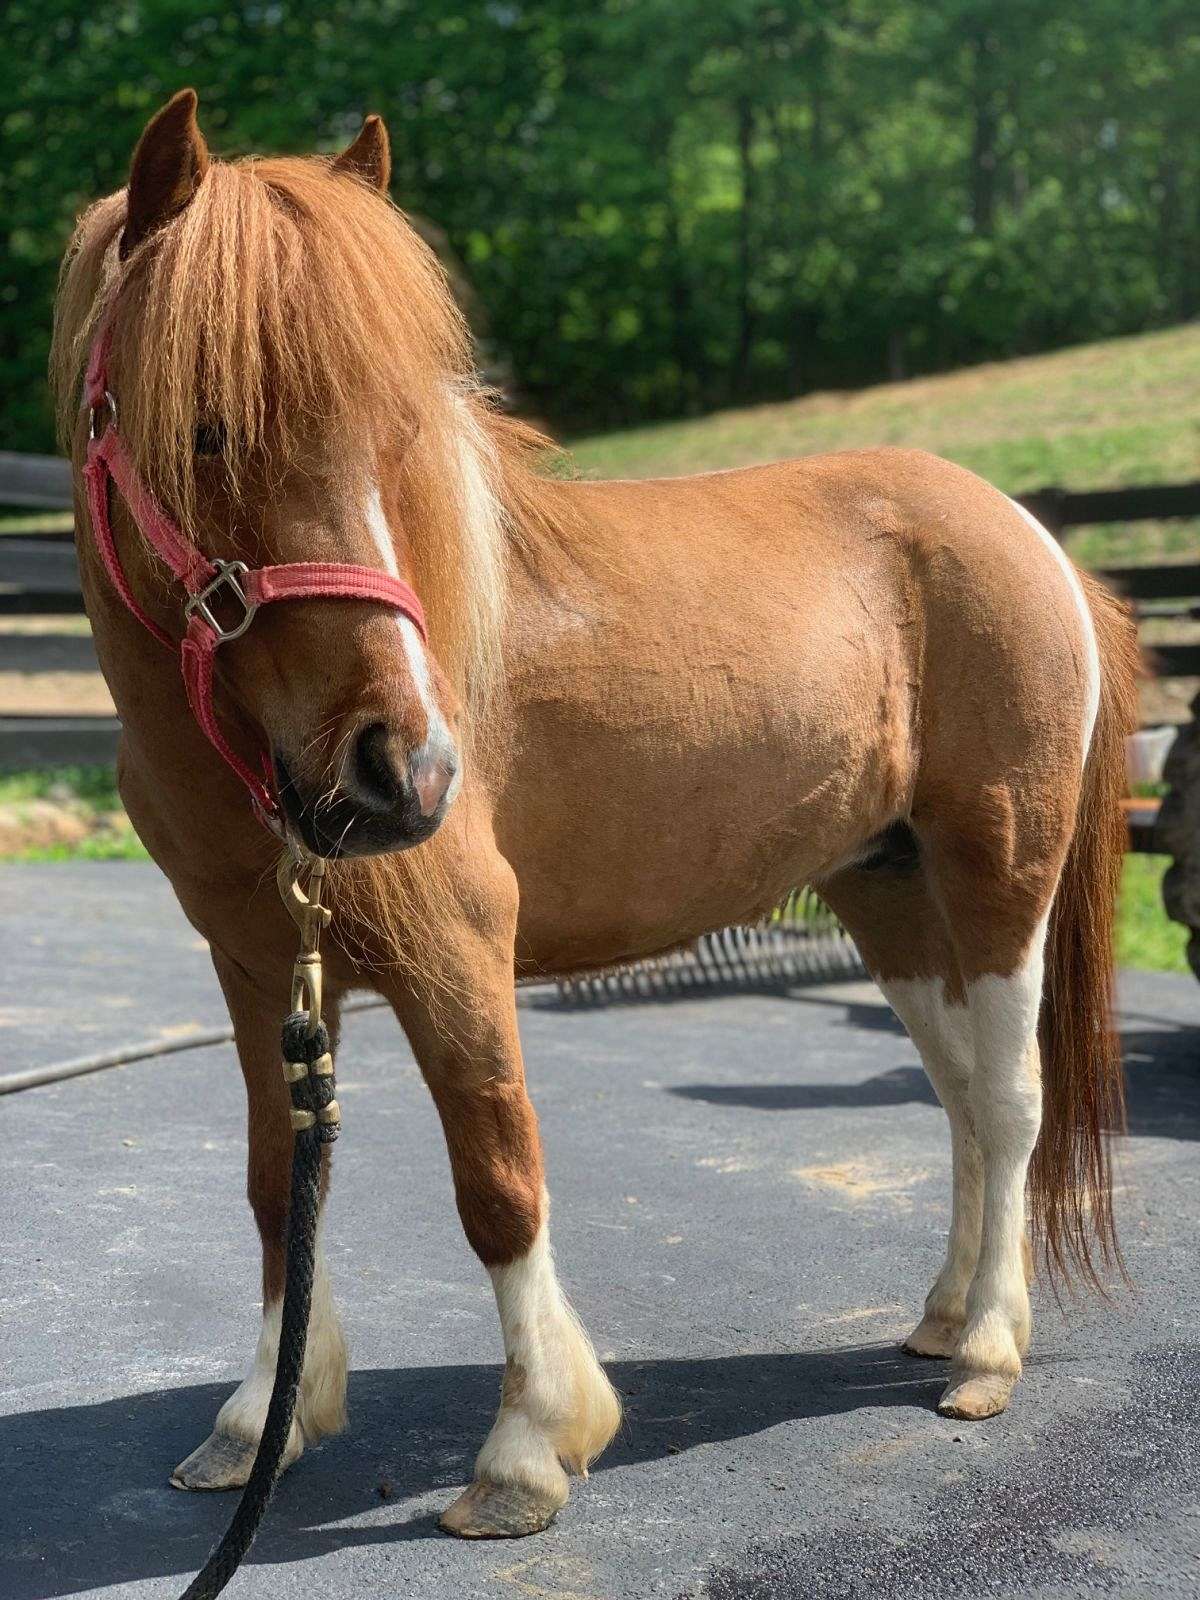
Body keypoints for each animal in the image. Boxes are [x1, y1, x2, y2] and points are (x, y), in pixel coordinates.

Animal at [52, 90, 1138, 1539]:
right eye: (210, 428)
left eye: (398, 439)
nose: (404, 773)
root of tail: (1034, 539)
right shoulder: (258, 965)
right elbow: (281, 1184)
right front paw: (260, 1424)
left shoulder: (459, 956)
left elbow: (500, 1181)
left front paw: (527, 1450)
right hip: (893, 895)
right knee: (962, 1097)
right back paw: (942, 1315)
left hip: (998, 876)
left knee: (1011, 1102)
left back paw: (988, 1354)